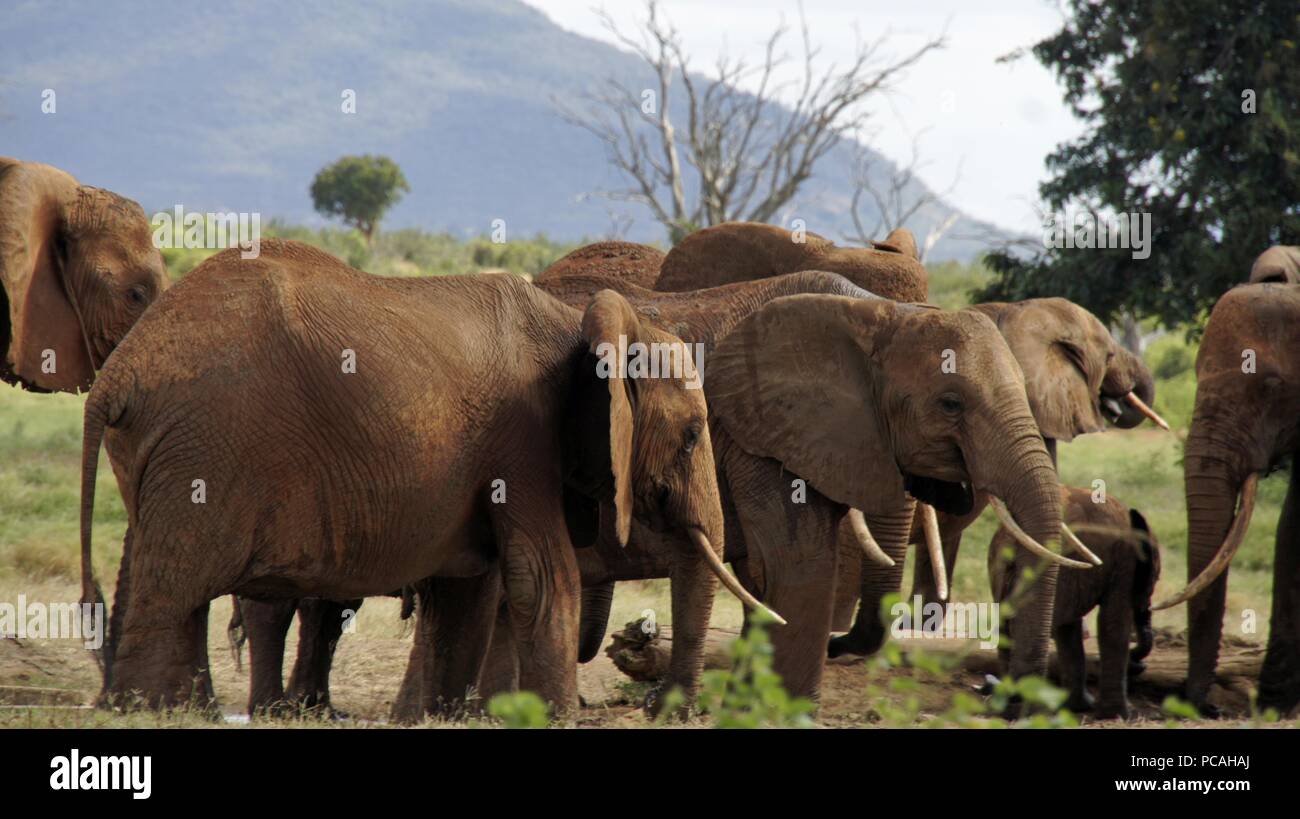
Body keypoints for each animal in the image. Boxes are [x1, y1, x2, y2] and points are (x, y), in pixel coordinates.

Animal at [76, 238, 758, 715]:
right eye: (692, 435)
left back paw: (173, 707)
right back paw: (152, 710)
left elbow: (470, 585)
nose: (661, 709)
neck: (588, 323)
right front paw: (555, 716)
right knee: (177, 588)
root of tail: (118, 373)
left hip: (162, 454)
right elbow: (540, 576)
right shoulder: (525, 438)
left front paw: (448, 716)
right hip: (207, 450)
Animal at [989, 486, 1160, 719]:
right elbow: (1113, 623)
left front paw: (1079, 707)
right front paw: (1119, 715)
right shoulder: (1125, 562)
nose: (1138, 664)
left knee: (1009, 626)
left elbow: (1068, 628)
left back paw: (1009, 708)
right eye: (1155, 578)